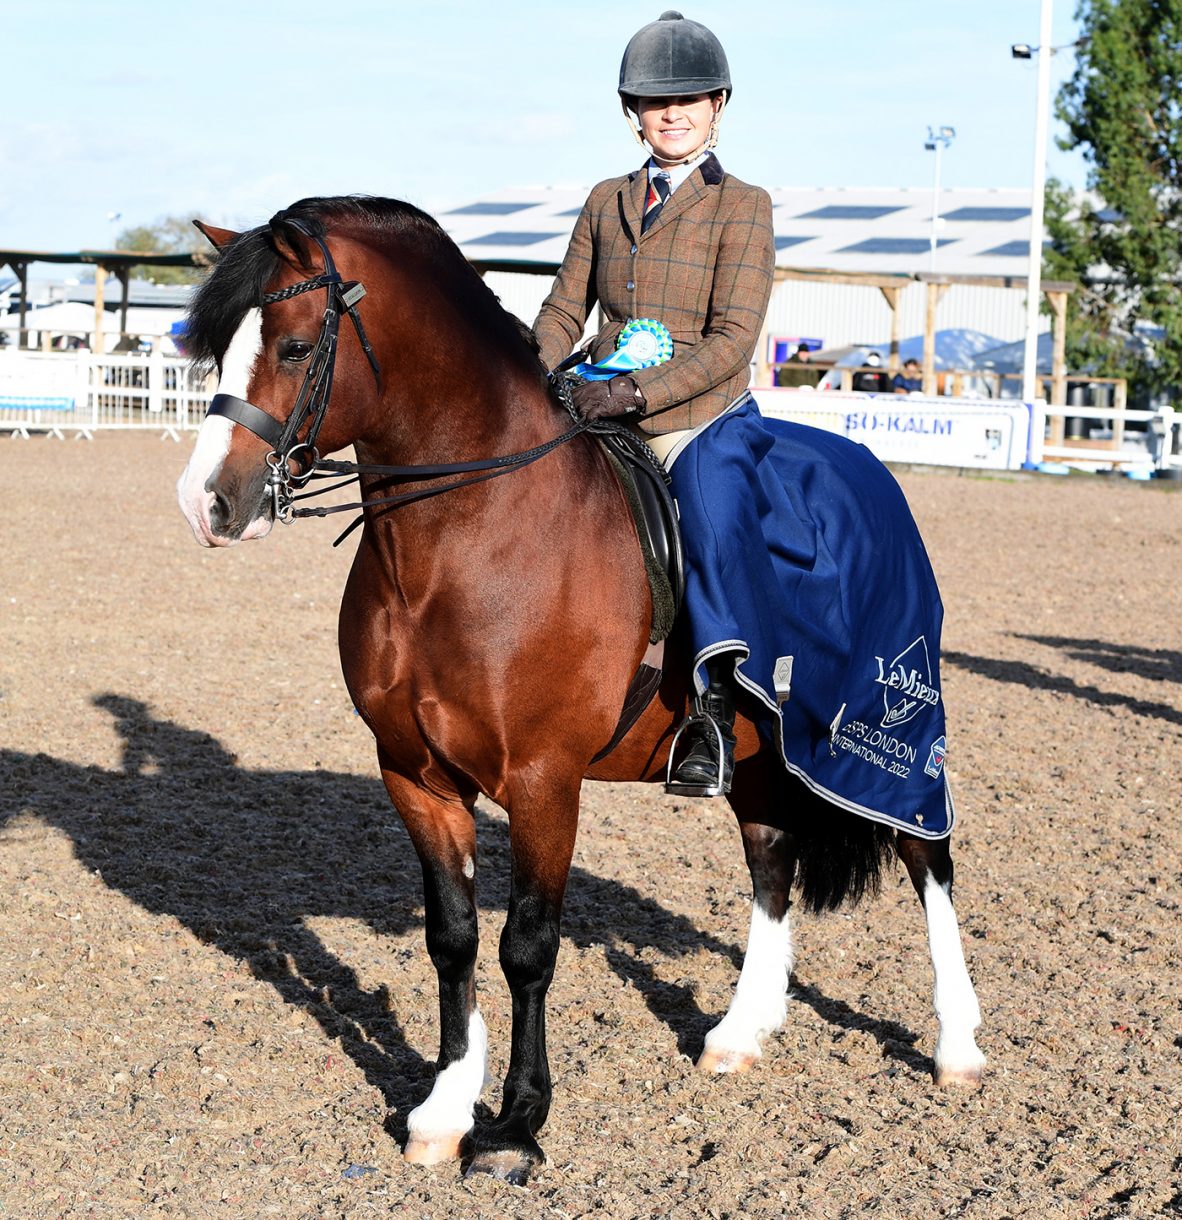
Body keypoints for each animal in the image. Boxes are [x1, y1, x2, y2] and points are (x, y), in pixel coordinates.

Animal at [176, 195, 985, 1184]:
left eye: (294, 346)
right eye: (214, 347)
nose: (206, 504)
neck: (466, 535)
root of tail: (866, 473)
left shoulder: (543, 780)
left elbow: (527, 946)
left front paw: (516, 1125)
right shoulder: (414, 775)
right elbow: (454, 939)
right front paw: (445, 1109)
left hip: (889, 730)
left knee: (927, 858)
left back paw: (958, 1047)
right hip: (763, 752)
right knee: (772, 861)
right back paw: (739, 1032)